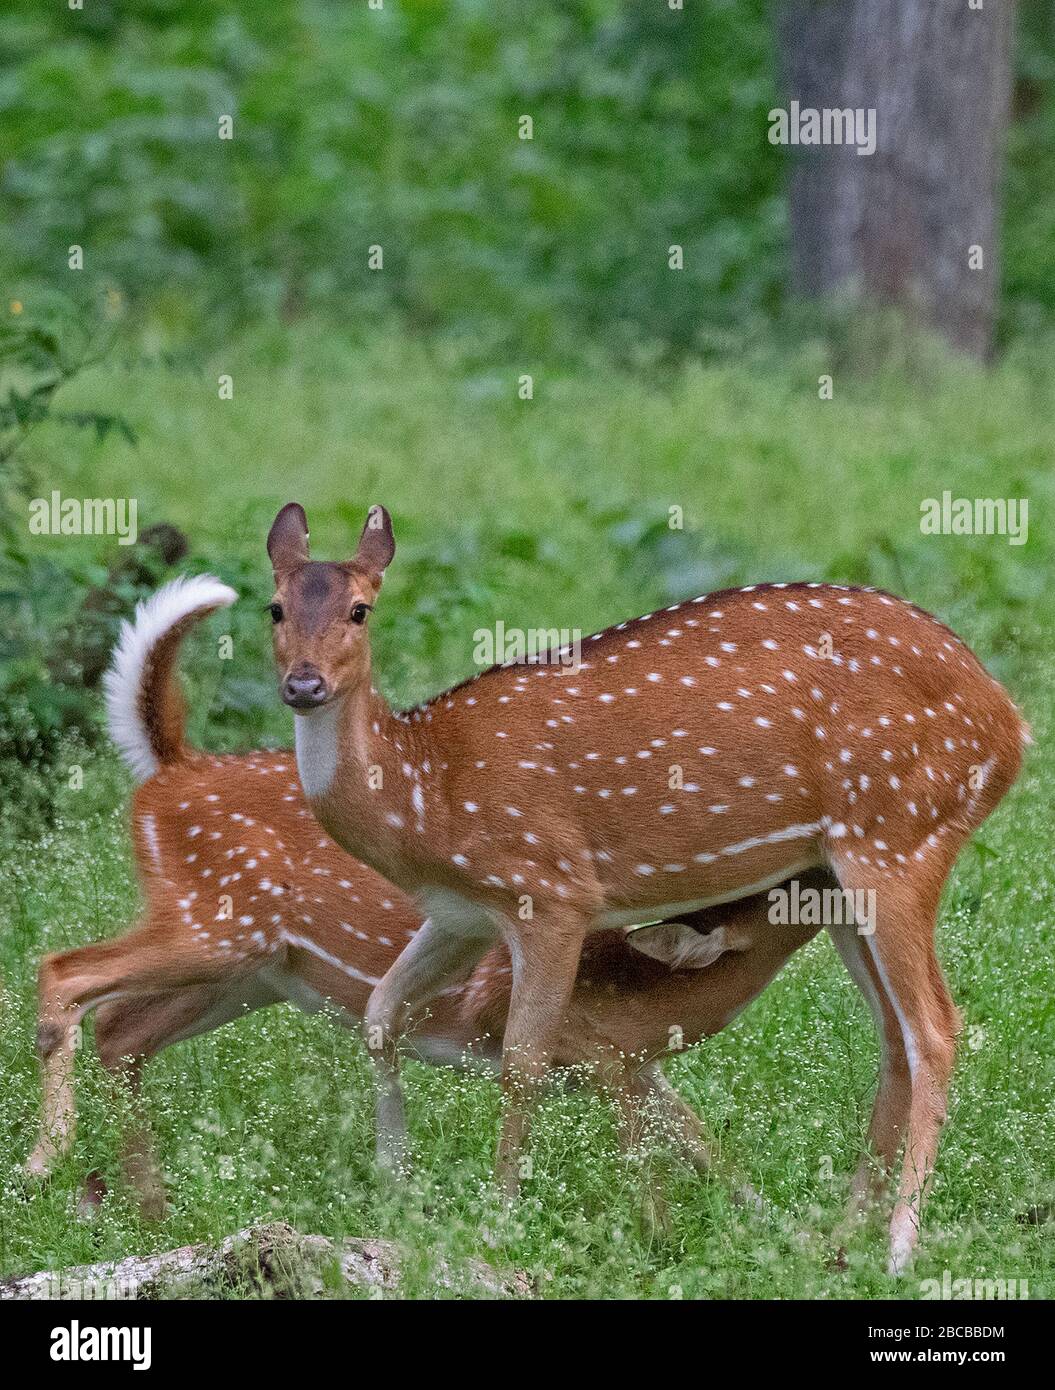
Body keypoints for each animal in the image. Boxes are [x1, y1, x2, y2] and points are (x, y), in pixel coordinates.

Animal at [26, 573, 826, 1223]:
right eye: (785, 890)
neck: (650, 997)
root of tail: (169, 770)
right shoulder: (582, 1043)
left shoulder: (635, 1063)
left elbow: (703, 1142)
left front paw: (787, 1234)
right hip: (217, 928)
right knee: (65, 970)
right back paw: (51, 1164)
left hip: (248, 974)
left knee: (122, 1029)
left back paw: (151, 1210)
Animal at [266, 501, 1028, 1274]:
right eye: (275, 607)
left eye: (361, 609)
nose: (303, 685)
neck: (424, 801)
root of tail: (1010, 724)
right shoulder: (461, 917)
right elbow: (379, 1015)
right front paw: (394, 1185)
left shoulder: (551, 891)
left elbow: (521, 1063)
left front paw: (499, 1219)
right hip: (844, 879)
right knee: (893, 1036)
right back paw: (841, 1241)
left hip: (896, 837)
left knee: (934, 1028)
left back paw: (900, 1247)